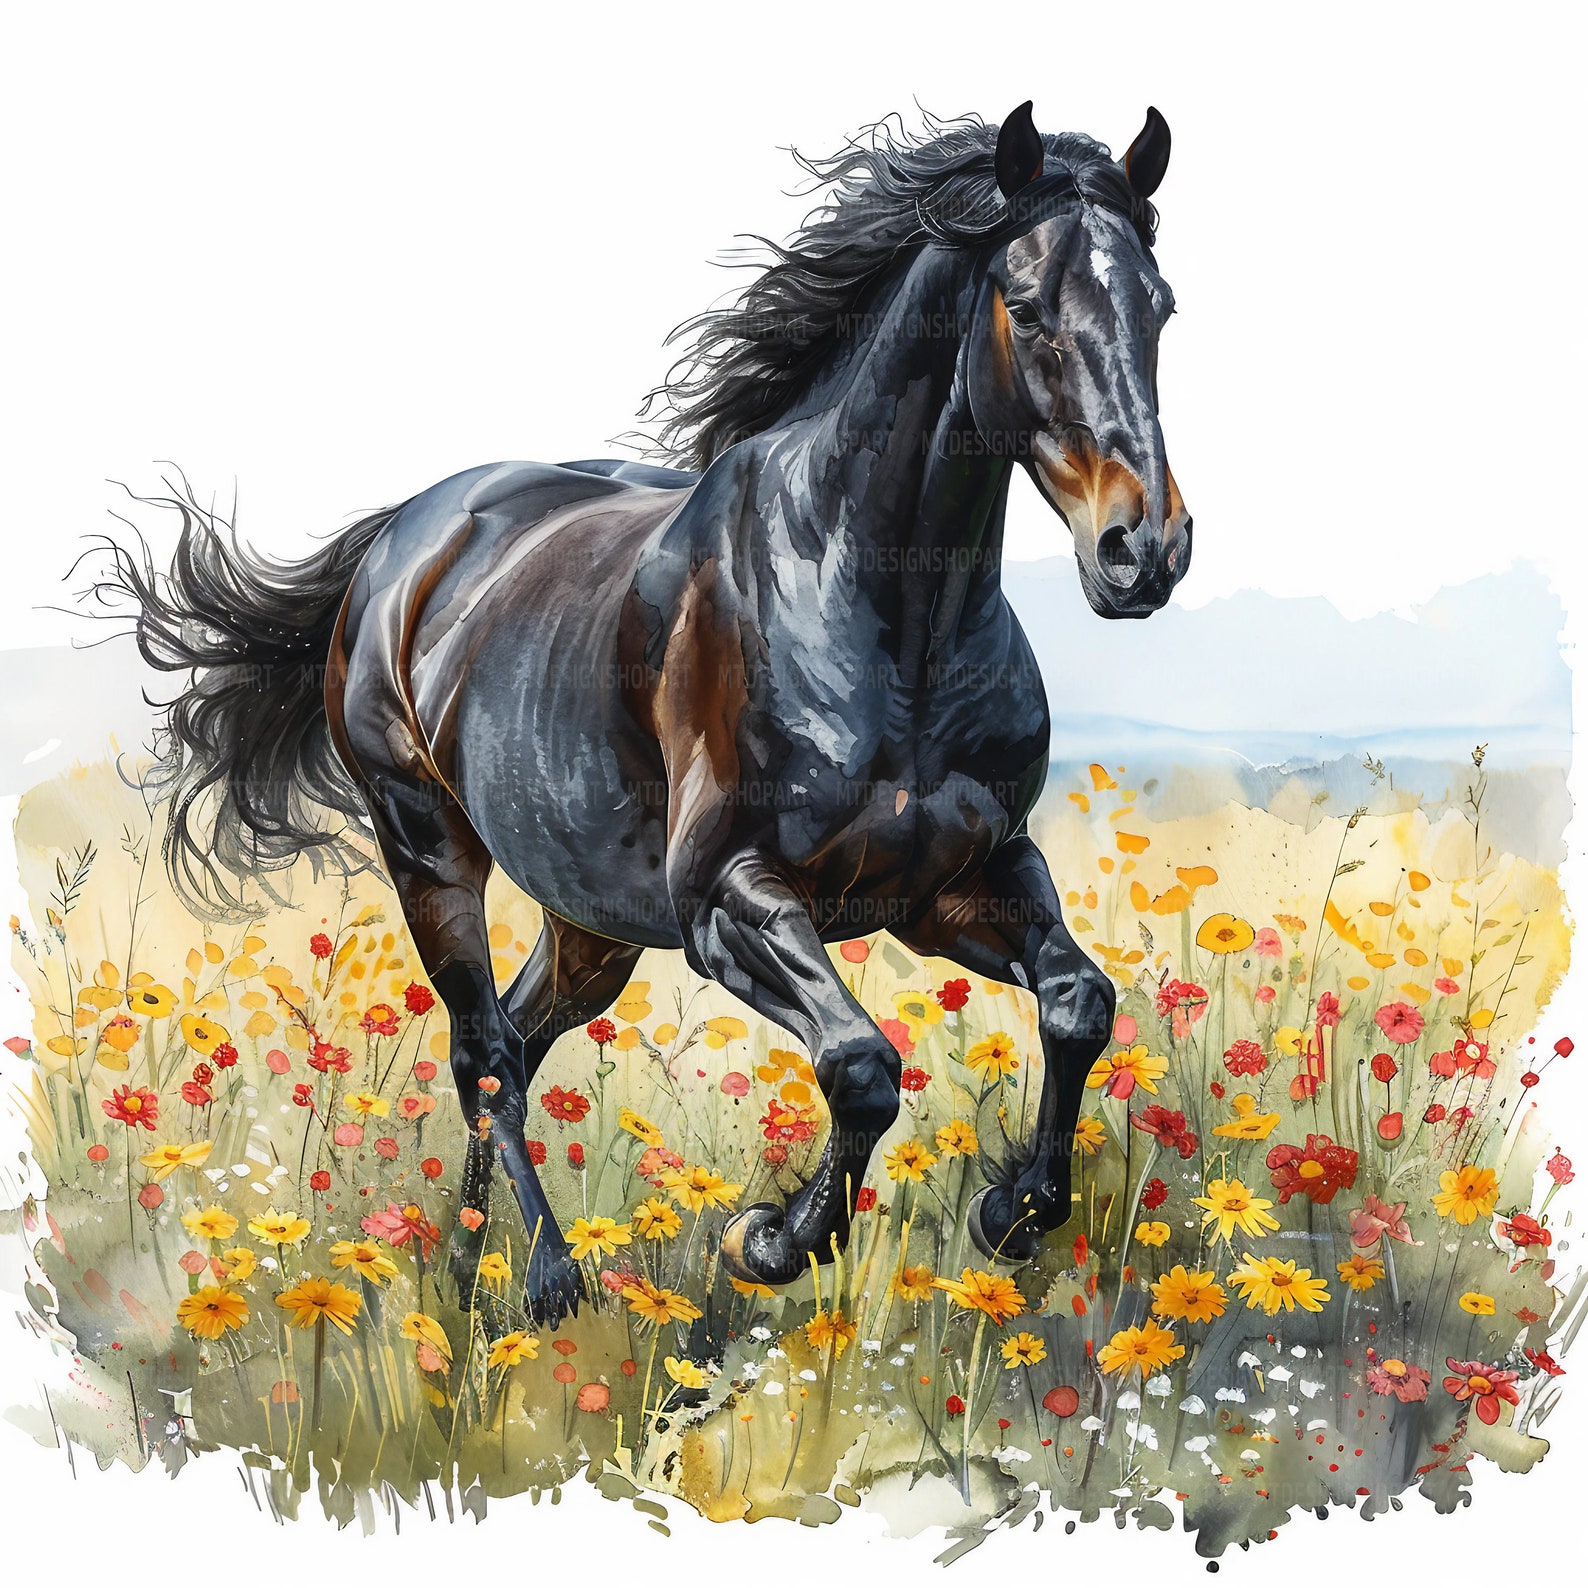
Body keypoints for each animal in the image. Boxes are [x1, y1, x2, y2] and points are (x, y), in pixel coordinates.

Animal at [106, 102, 1191, 1325]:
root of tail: (409, 535)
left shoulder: (959, 882)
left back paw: (464, 1268)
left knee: (520, 1043)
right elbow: (862, 1066)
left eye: (1159, 305)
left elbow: (1080, 1001)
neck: (882, 617)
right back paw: (542, 1276)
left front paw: (1013, 1208)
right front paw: (772, 1240)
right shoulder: (730, 900)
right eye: (1029, 303)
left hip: (594, 922)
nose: (1143, 550)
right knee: (484, 1053)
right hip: (429, 854)